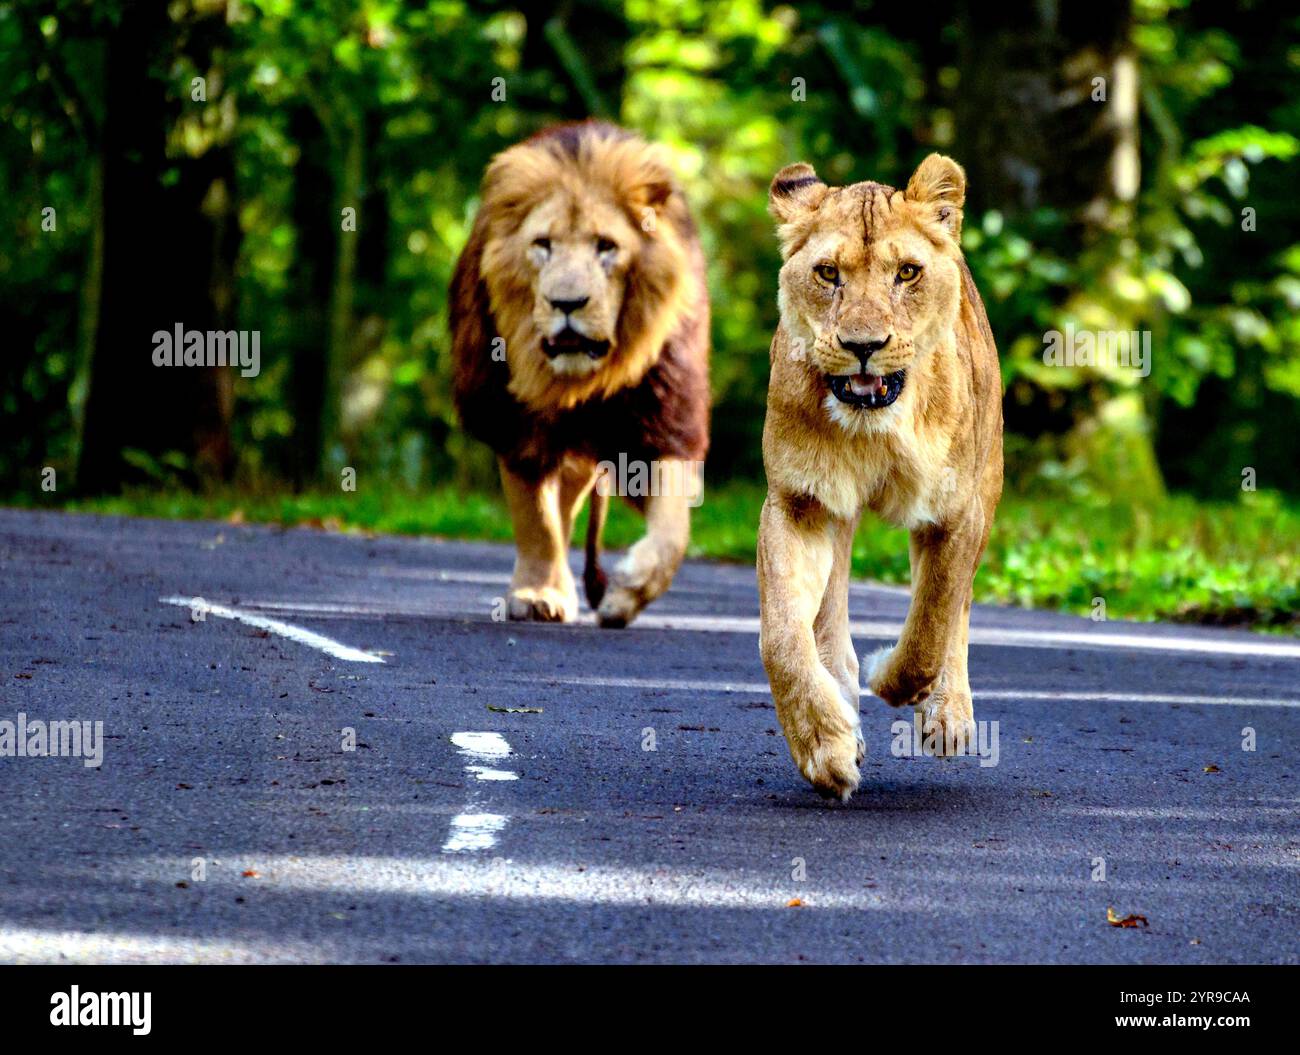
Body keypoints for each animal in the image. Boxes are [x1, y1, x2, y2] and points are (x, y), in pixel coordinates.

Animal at [450, 122, 710, 628]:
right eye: (543, 244)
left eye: (606, 246)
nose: (567, 303)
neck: (576, 379)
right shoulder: (516, 422)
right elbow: (537, 519)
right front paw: (537, 593)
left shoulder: (661, 420)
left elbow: (673, 532)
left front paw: (627, 594)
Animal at [756, 154, 1004, 800]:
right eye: (827, 273)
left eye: (908, 273)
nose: (862, 345)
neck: (876, 430)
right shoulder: (799, 503)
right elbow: (783, 637)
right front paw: (825, 745)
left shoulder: (957, 512)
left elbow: (933, 622)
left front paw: (900, 684)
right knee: (825, 618)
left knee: (957, 609)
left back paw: (948, 713)